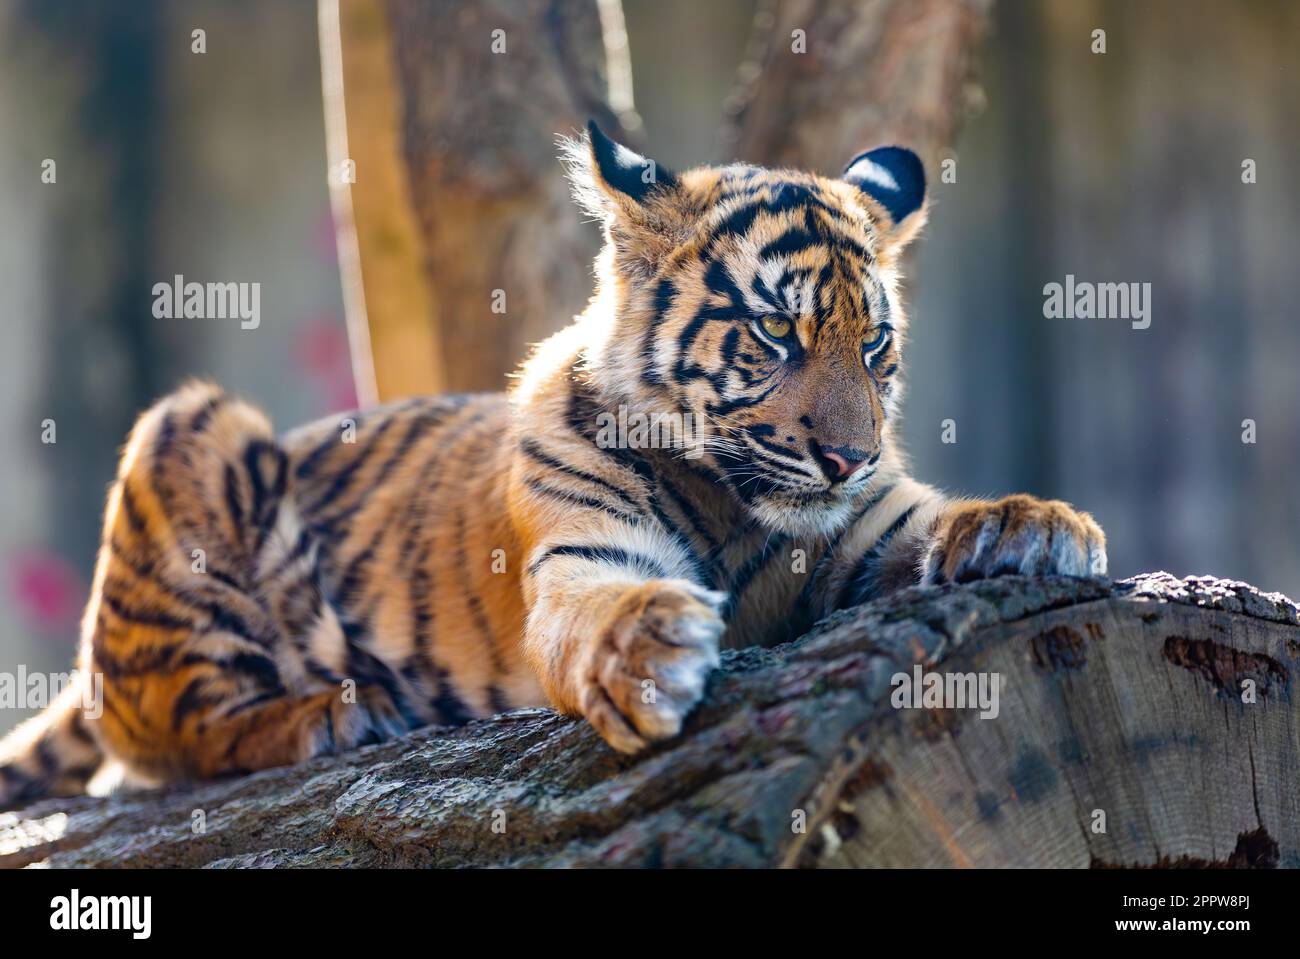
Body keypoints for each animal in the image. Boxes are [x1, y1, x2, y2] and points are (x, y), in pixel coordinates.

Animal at [0, 122, 1106, 806]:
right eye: (774, 332)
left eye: (873, 344)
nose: (846, 454)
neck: (738, 500)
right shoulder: (583, 558)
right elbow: (602, 613)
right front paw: (648, 647)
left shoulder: (870, 522)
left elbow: (932, 518)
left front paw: (1042, 524)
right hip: (191, 428)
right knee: (160, 740)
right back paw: (338, 714)